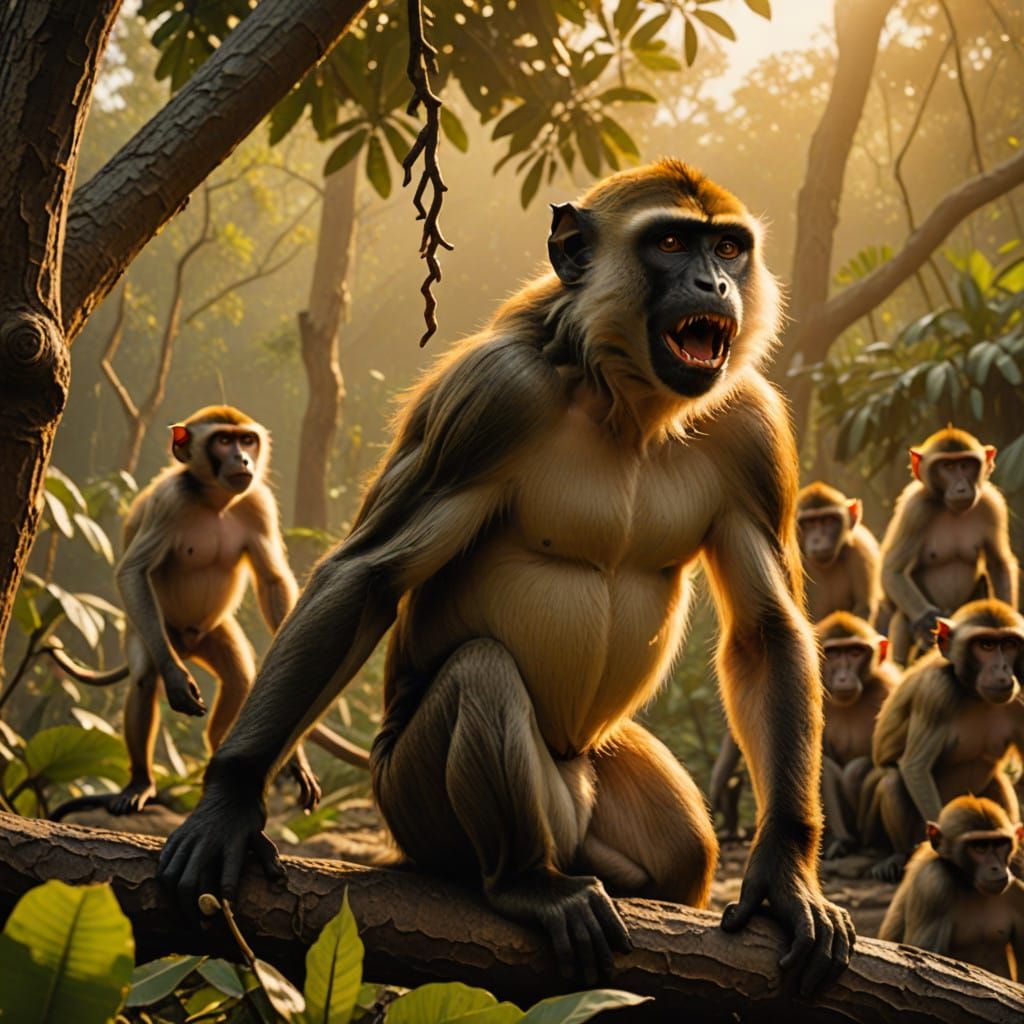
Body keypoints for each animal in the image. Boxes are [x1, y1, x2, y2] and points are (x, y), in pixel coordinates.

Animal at [159, 160, 853, 990]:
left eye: (727, 247)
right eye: (672, 242)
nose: (715, 284)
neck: (626, 404)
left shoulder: (751, 430)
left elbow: (766, 630)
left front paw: (784, 869)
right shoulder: (492, 395)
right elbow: (366, 576)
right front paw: (232, 794)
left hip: (595, 772)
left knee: (686, 851)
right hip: (409, 797)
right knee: (481, 675)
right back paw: (527, 882)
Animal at [816, 612, 898, 859]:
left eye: (855, 652)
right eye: (833, 653)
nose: (844, 677)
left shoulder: (888, 688)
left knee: (858, 769)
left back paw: (875, 847)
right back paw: (839, 841)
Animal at [859, 599, 1024, 881]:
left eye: (1010, 644)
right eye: (986, 645)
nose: (1003, 670)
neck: (973, 694)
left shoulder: (1020, 698)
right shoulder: (936, 693)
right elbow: (915, 767)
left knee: (997, 782)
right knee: (891, 779)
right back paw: (896, 857)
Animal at [878, 795, 1024, 980]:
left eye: (1000, 844)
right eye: (980, 847)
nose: (996, 868)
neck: (968, 884)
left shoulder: (1017, 890)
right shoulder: (933, 886)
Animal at [880, 427, 1018, 666]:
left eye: (965, 464)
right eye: (948, 466)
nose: (961, 488)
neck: (952, 510)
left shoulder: (991, 505)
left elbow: (998, 563)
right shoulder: (915, 508)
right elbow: (893, 570)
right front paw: (927, 621)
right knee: (902, 615)